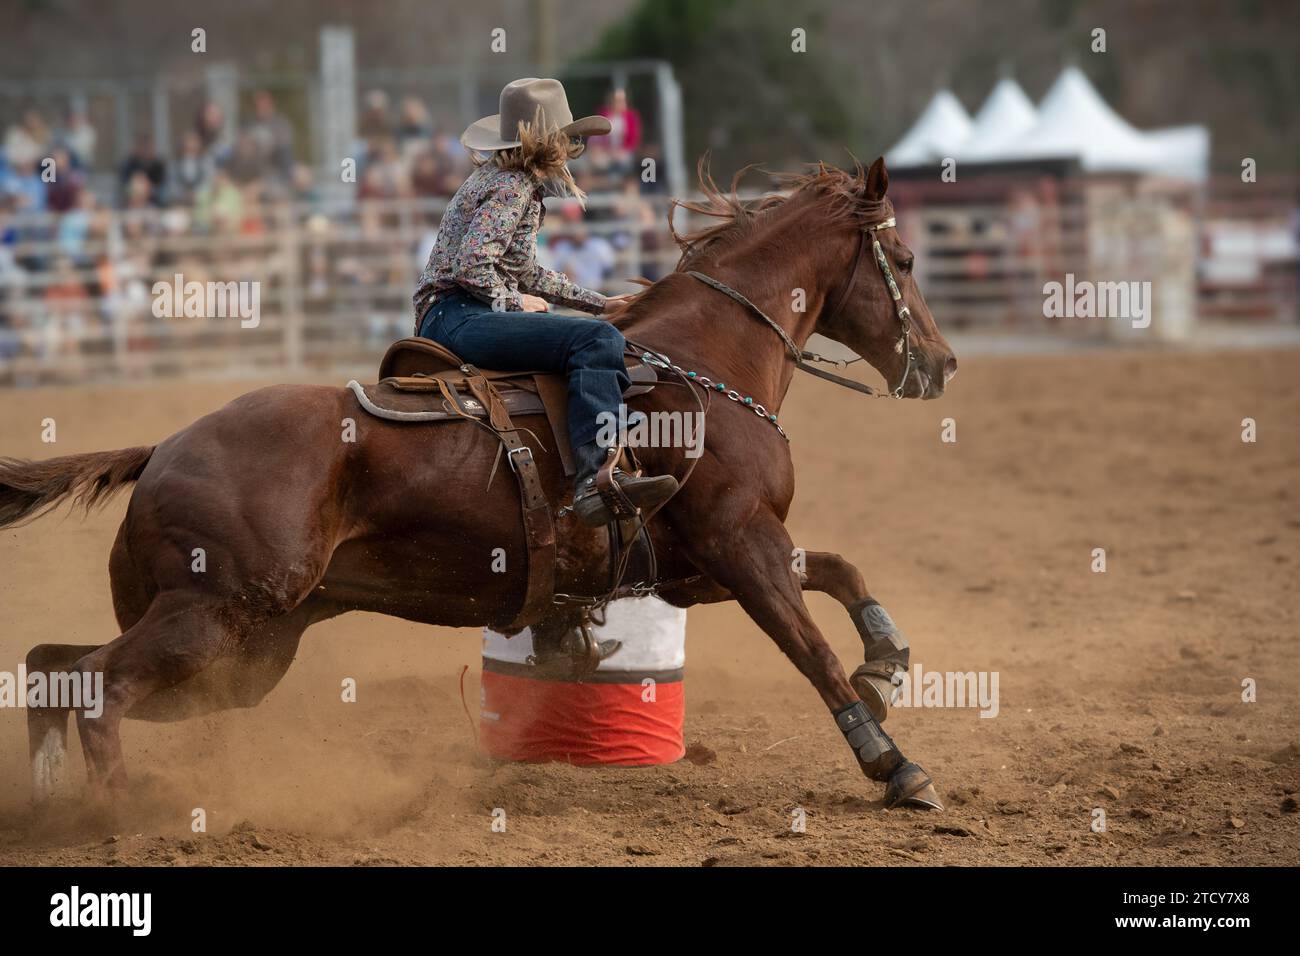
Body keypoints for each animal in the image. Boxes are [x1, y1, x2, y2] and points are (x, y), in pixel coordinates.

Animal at [1, 156, 956, 810]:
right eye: (907, 259)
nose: (942, 363)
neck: (701, 366)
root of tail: (164, 445)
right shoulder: (739, 541)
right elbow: (810, 648)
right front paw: (895, 764)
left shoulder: (701, 564)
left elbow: (840, 572)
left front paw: (890, 657)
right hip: (214, 616)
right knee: (98, 686)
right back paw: (120, 814)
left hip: (242, 651)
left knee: (53, 665)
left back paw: (49, 797)